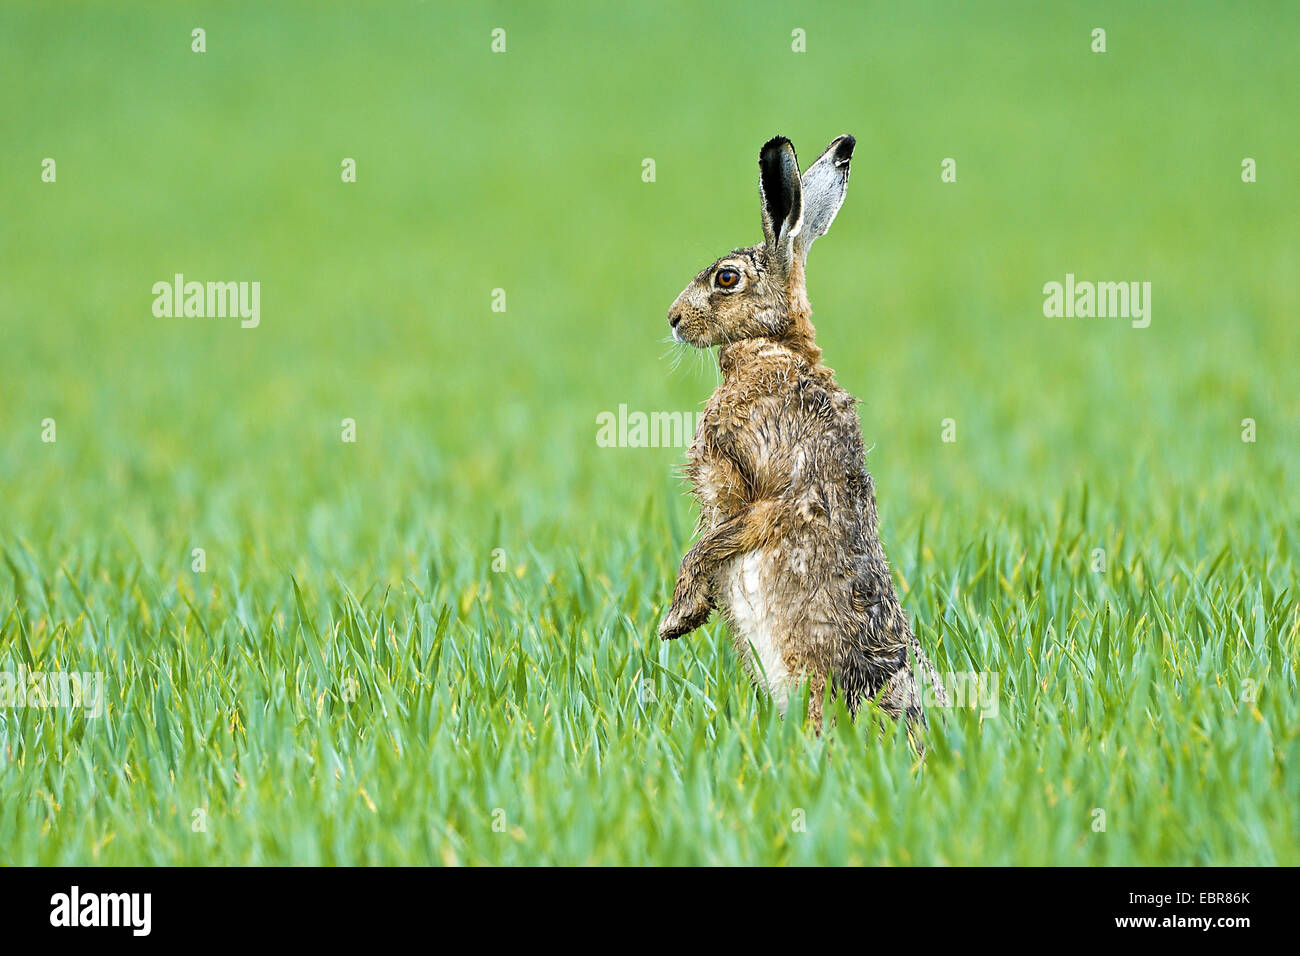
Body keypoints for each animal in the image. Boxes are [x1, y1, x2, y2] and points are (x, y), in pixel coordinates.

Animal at [658, 134, 946, 734]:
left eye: (726, 278)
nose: (673, 319)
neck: (772, 346)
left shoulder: (767, 486)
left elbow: (713, 543)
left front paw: (678, 619)